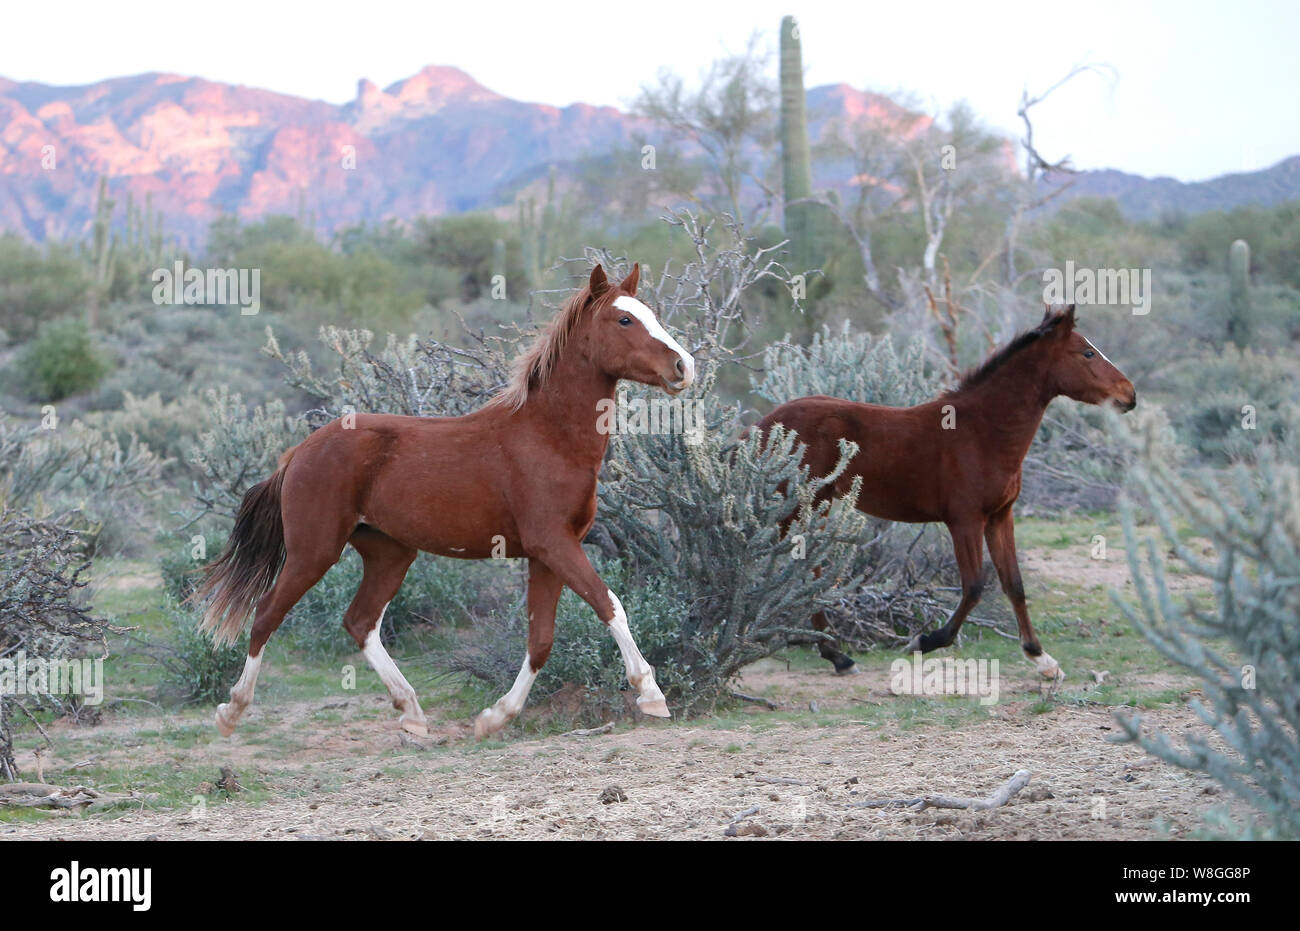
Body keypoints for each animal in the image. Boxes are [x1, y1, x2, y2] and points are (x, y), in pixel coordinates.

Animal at [192, 263, 695, 739]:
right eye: (624, 319)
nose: (683, 366)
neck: (548, 438)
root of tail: (297, 453)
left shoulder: (548, 554)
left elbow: (541, 640)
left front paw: (494, 718)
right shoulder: (553, 543)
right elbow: (609, 604)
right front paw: (651, 694)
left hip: (389, 553)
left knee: (360, 621)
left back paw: (412, 713)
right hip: (313, 551)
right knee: (266, 614)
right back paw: (231, 712)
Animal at [756, 305, 1135, 679]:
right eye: (1087, 352)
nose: (1129, 394)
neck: (983, 431)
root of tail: (764, 425)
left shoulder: (1000, 517)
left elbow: (1013, 583)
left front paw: (1041, 658)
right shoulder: (964, 520)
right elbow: (974, 586)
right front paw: (924, 641)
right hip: (802, 506)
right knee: (804, 568)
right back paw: (834, 654)